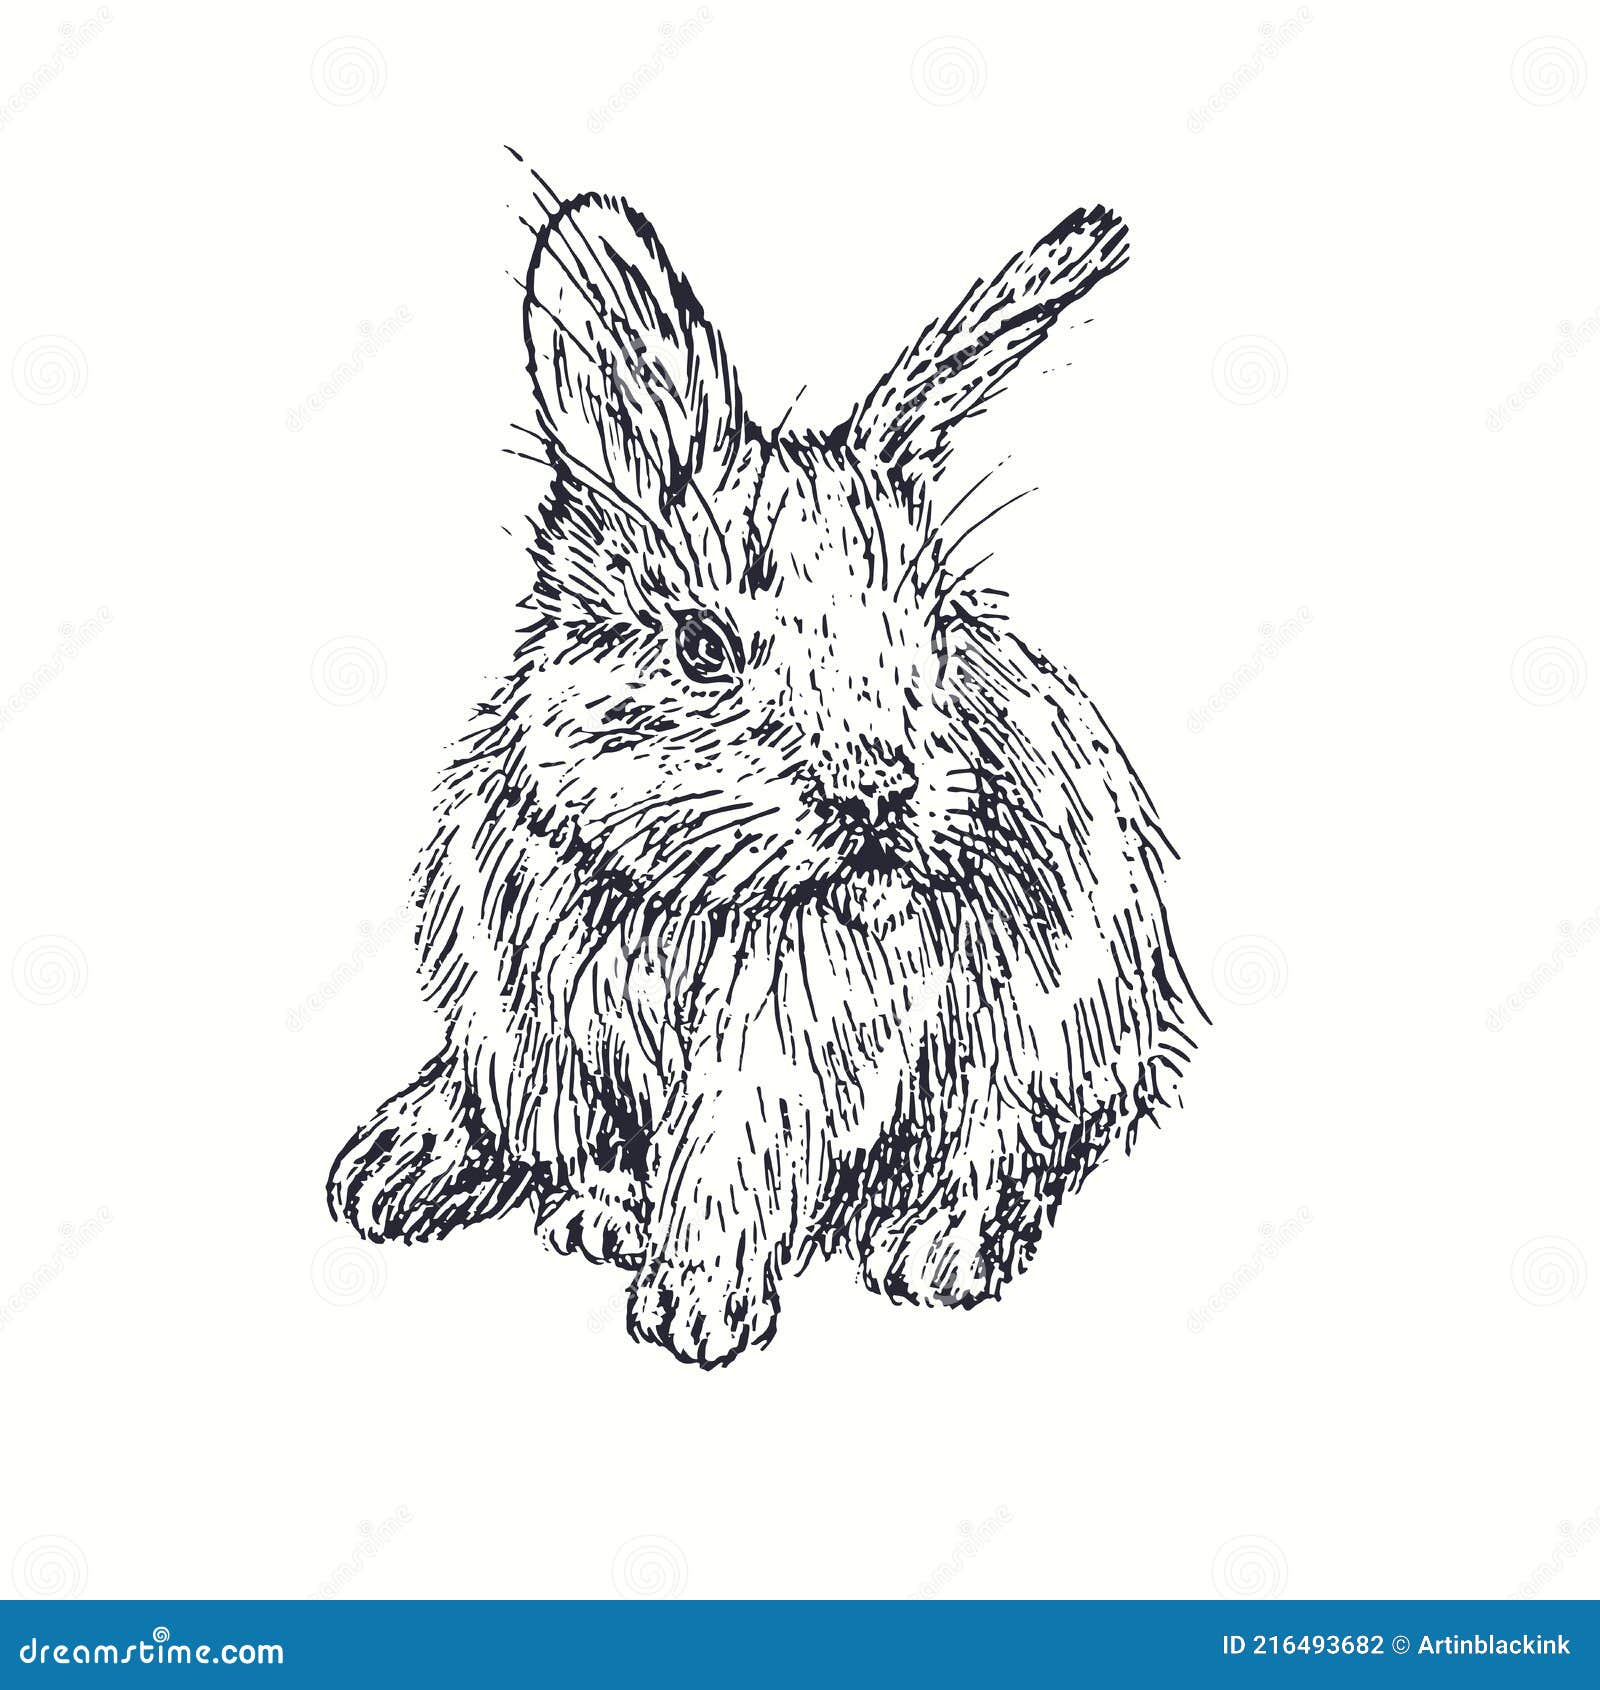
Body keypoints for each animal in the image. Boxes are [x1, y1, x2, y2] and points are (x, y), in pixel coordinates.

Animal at [327, 160, 1200, 1368]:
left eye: (928, 630)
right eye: (703, 646)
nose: (879, 796)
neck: (677, 892)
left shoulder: (785, 1063)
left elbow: (728, 1171)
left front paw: (692, 1311)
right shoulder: (533, 1021)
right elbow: (573, 1132)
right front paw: (589, 1215)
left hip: (1059, 1023)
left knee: (1019, 1146)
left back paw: (933, 1252)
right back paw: (393, 1162)